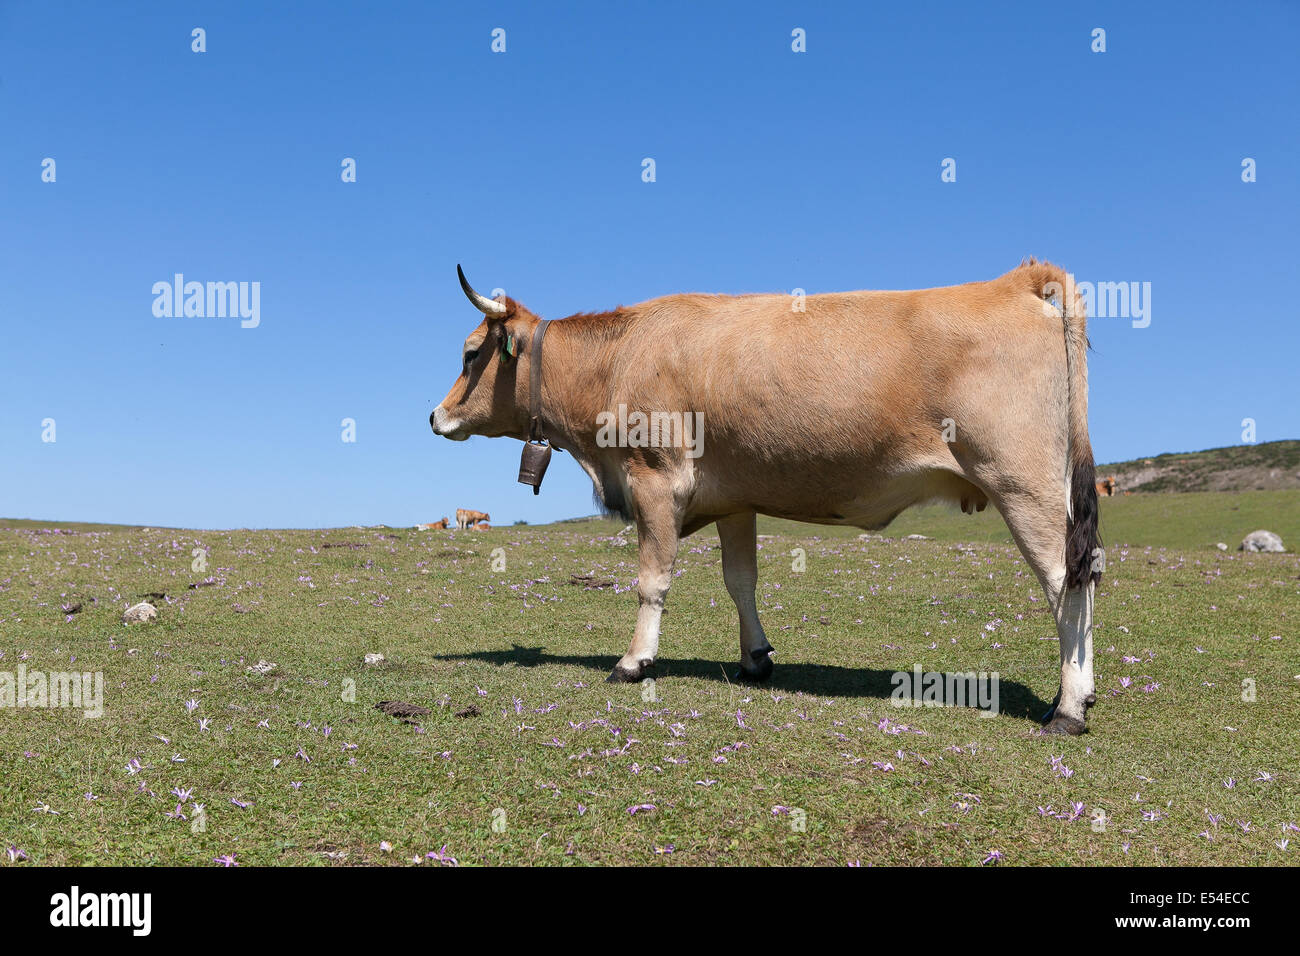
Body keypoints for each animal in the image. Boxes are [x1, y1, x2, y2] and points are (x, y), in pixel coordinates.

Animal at [431, 260, 1103, 735]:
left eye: (470, 354)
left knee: (1063, 582)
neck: (619, 358)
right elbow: (740, 580)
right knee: (1084, 574)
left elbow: (653, 581)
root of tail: (1011, 282)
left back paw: (1068, 708)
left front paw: (634, 661)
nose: (434, 416)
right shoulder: (734, 500)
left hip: (1024, 484)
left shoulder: (655, 481)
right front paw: (755, 658)